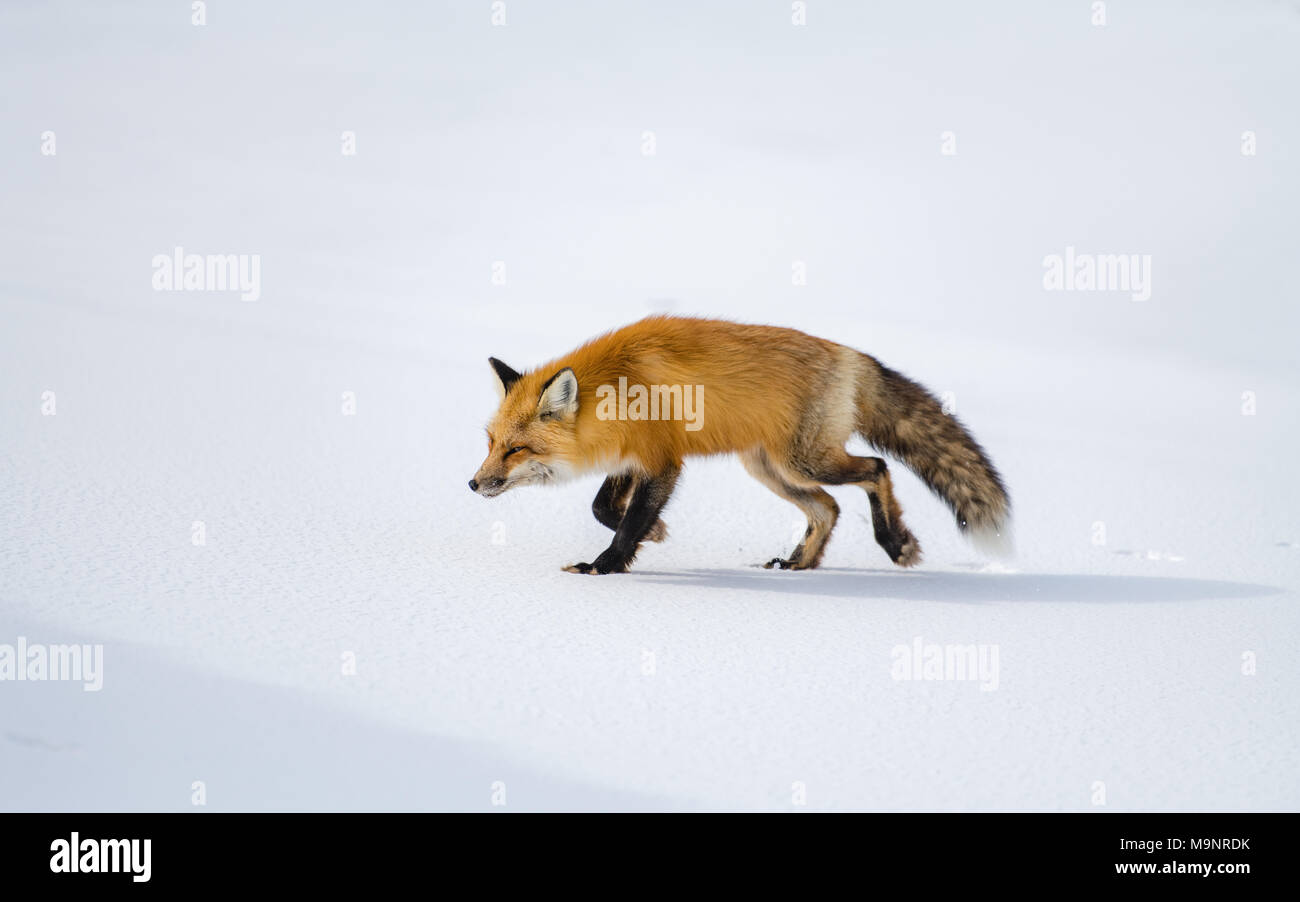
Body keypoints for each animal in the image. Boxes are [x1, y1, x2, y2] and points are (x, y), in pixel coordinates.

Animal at [470, 315, 1010, 575]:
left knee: (876, 468)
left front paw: (602, 567)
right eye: (491, 441)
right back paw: (799, 564)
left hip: (804, 461)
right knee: (829, 508)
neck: (619, 387)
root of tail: (851, 355)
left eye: (516, 450)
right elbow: (603, 507)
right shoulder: (632, 457)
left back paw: (895, 543)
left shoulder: (663, 463)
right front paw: (656, 533)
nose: (474, 484)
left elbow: (627, 524)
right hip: (771, 470)